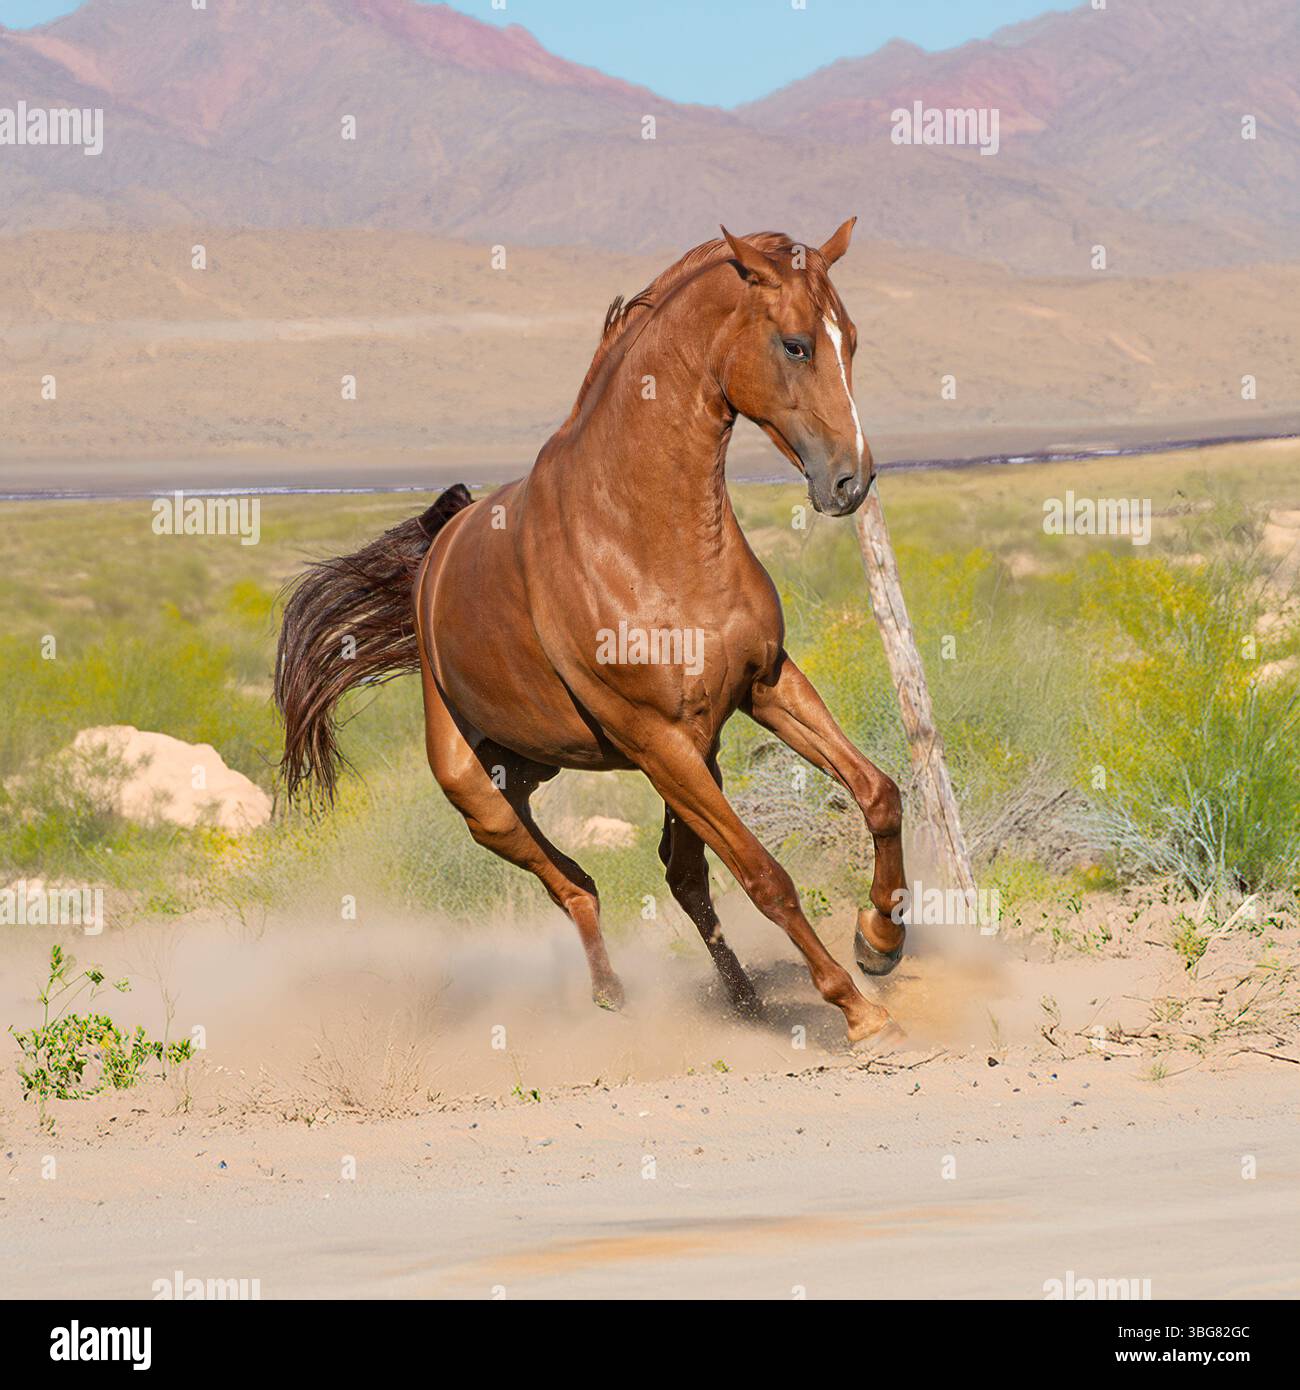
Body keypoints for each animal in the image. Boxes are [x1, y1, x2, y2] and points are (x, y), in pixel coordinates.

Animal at [275, 220, 909, 1048]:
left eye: (854, 339)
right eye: (796, 345)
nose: (848, 482)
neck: (644, 534)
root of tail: (435, 558)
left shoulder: (764, 685)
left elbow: (878, 793)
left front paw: (880, 941)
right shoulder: (655, 739)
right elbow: (765, 876)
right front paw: (858, 1009)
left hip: (600, 762)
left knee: (679, 876)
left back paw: (743, 1000)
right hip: (487, 801)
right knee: (577, 887)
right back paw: (614, 997)